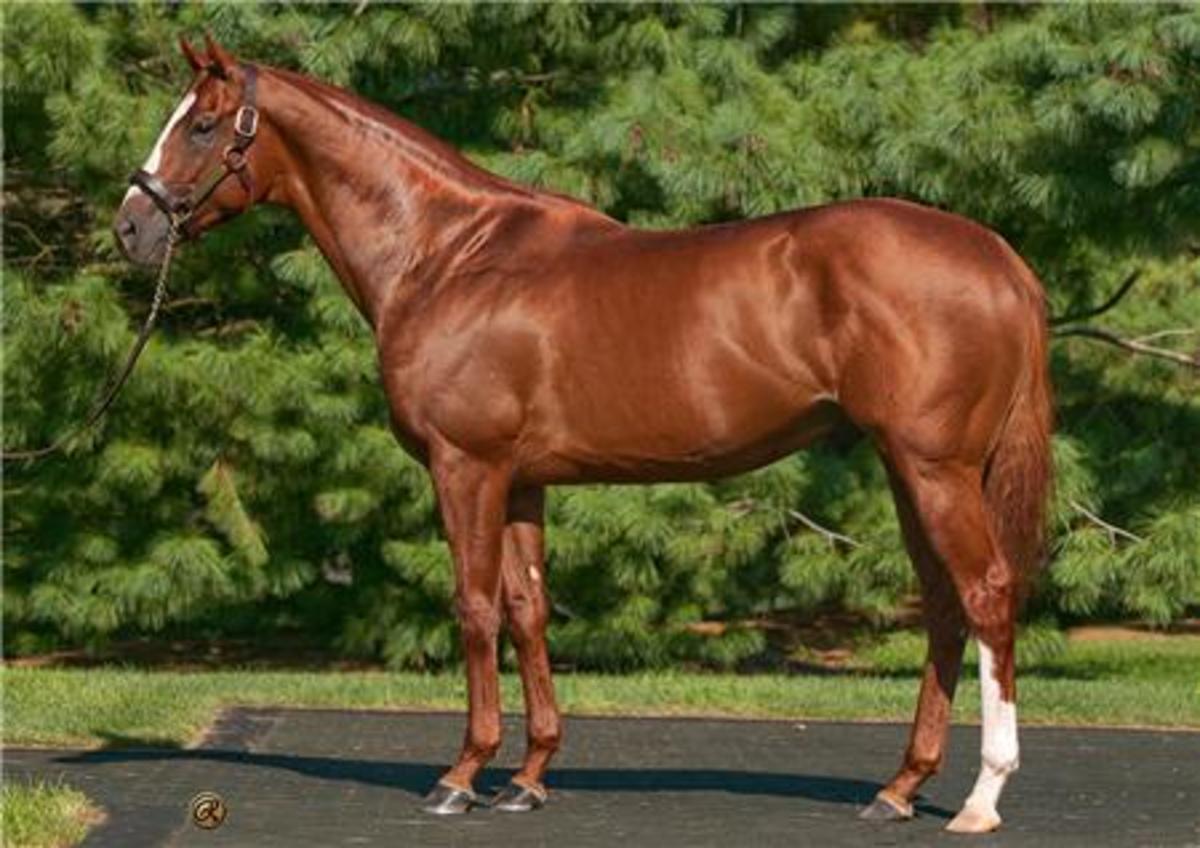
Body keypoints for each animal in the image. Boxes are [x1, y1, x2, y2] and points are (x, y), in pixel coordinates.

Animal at [114, 35, 1052, 834]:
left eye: (202, 124)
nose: (130, 226)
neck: (447, 256)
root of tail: (999, 258)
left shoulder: (466, 468)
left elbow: (475, 607)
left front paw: (462, 775)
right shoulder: (523, 480)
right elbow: (528, 610)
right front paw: (528, 778)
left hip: (935, 468)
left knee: (986, 596)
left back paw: (981, 797)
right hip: (907, 469)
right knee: (943, 607)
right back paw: (899, 790)